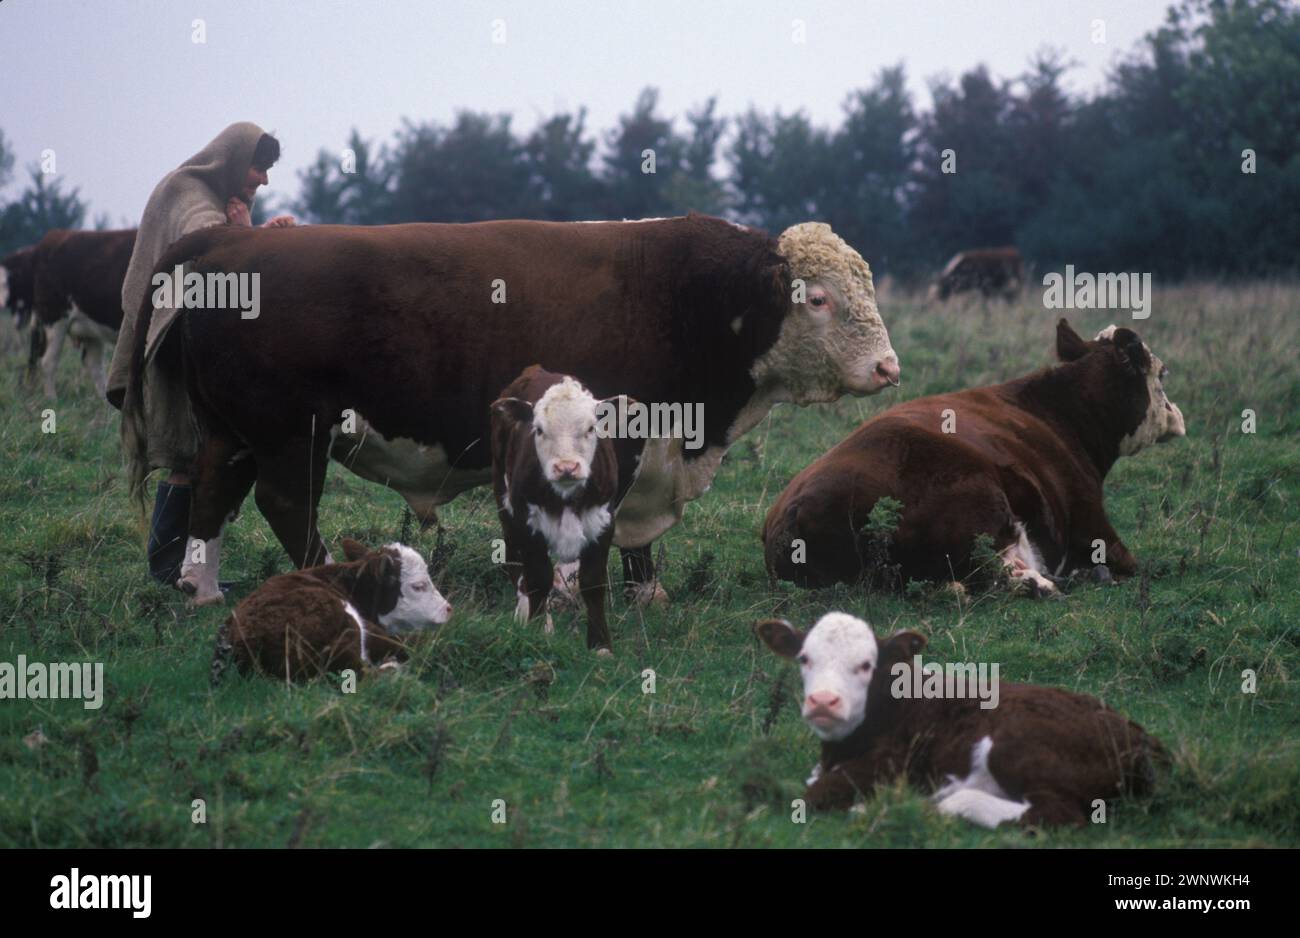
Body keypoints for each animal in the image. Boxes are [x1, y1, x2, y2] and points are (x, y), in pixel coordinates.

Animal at [31, 228, 136, 399]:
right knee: (48, 362)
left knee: (94, 364)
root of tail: (55, 234)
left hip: (90, 328)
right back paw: (52, 399)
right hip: (54, 318)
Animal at [124, 214, 900, 607]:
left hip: (232, 431)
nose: (889, 367)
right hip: (291, 433)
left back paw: (202, 590)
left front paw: (646, 591)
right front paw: (569, 589)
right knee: (286, 505)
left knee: (211, 493)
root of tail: (233, 241)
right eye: (818, 297)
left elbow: (636, 537)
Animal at [491, 366, 632, 654]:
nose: (566, 467)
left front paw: (600, 645)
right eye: (539, 430)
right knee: (514, 564)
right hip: (504, 502)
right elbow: (538, 578)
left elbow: (593, 582)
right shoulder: (528, 524)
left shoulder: (603, 522)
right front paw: (537, 630)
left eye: (591, 428)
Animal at [755, 613, 1166, 827]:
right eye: (804, 658)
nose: (823, 701)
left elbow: (811, 795)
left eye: (866, 665)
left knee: (1055, 814)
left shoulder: (889, 765)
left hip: (1014, 746)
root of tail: (1145, 740)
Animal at [764, 320, 1186, 592]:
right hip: (977, 494)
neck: (1061, 413)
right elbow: (1129, 563)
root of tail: (794, 508)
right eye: (1162, 373)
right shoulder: (1092, 520)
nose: (1177, 415)